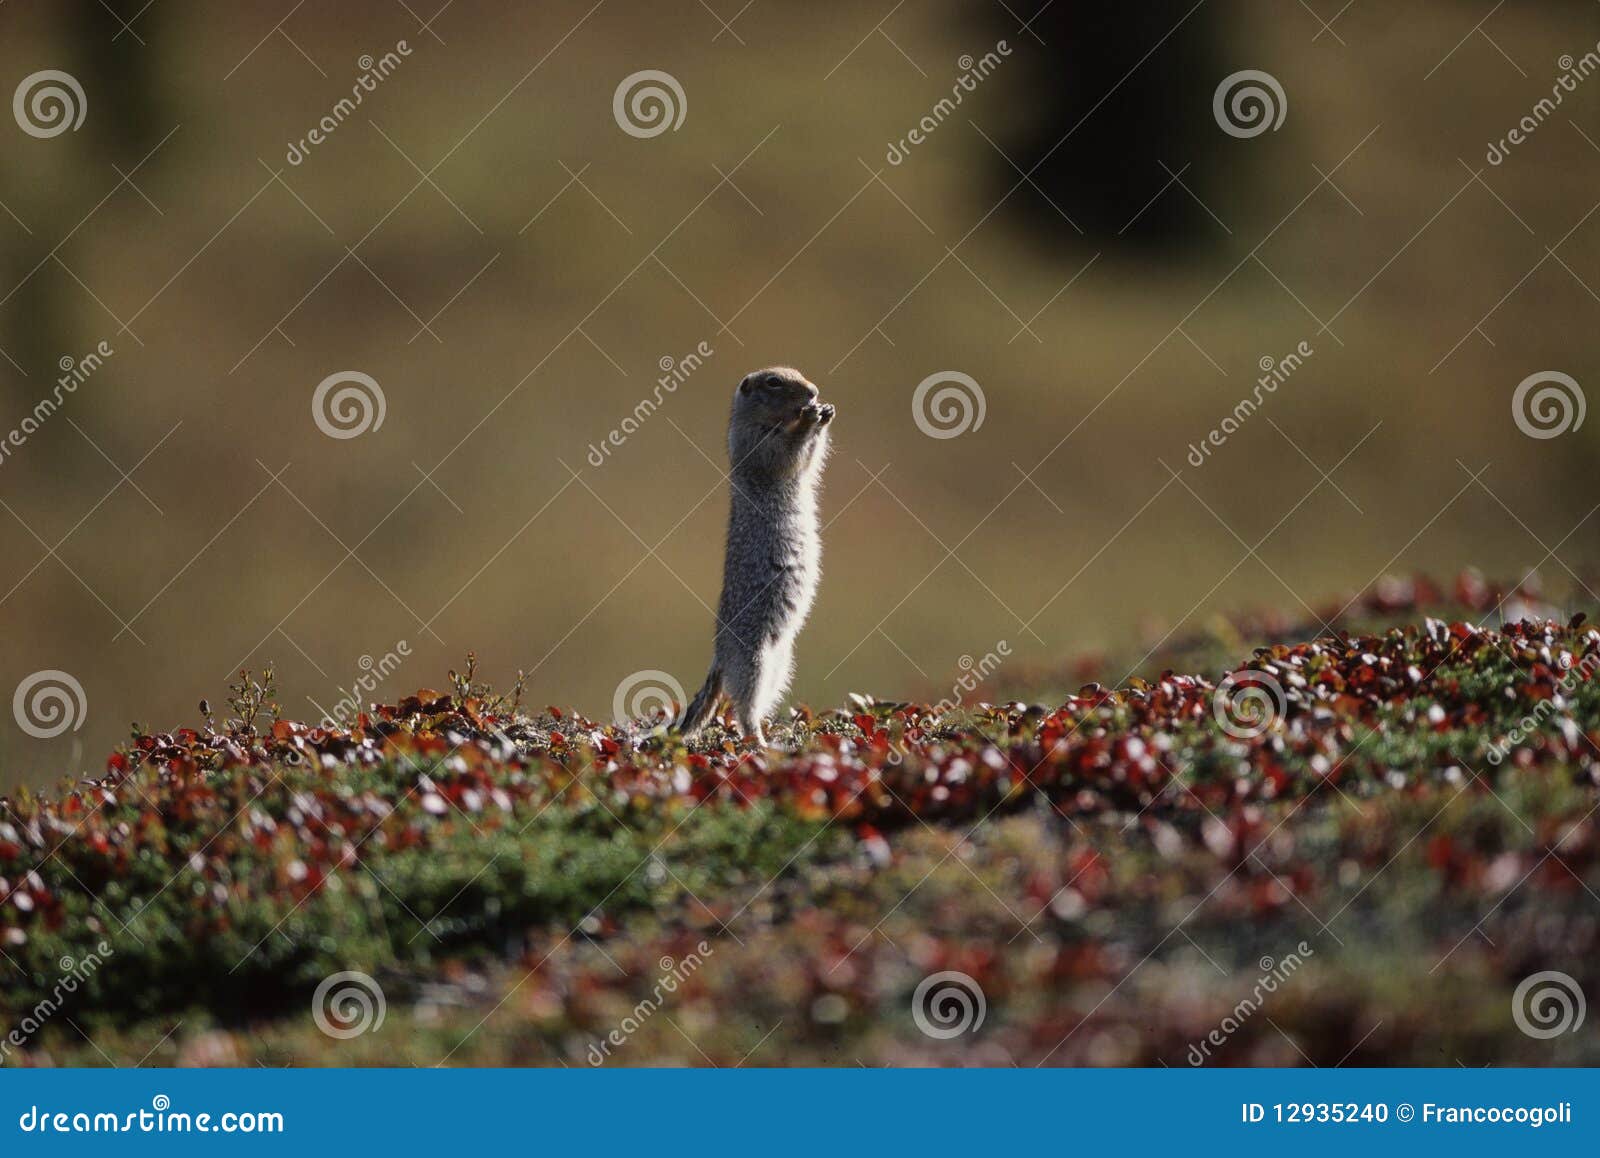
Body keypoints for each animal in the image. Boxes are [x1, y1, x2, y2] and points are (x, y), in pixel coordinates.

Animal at [677, 367, 835, 747]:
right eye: (774, 382)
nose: (813, 391)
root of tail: (719, 657)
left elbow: (810, 461)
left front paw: (825, 411)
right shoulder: (758, 443)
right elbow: (786, 453)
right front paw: (810, 419)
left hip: (781, 664)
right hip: (753, 661)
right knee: (743, 709)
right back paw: (760, 741)